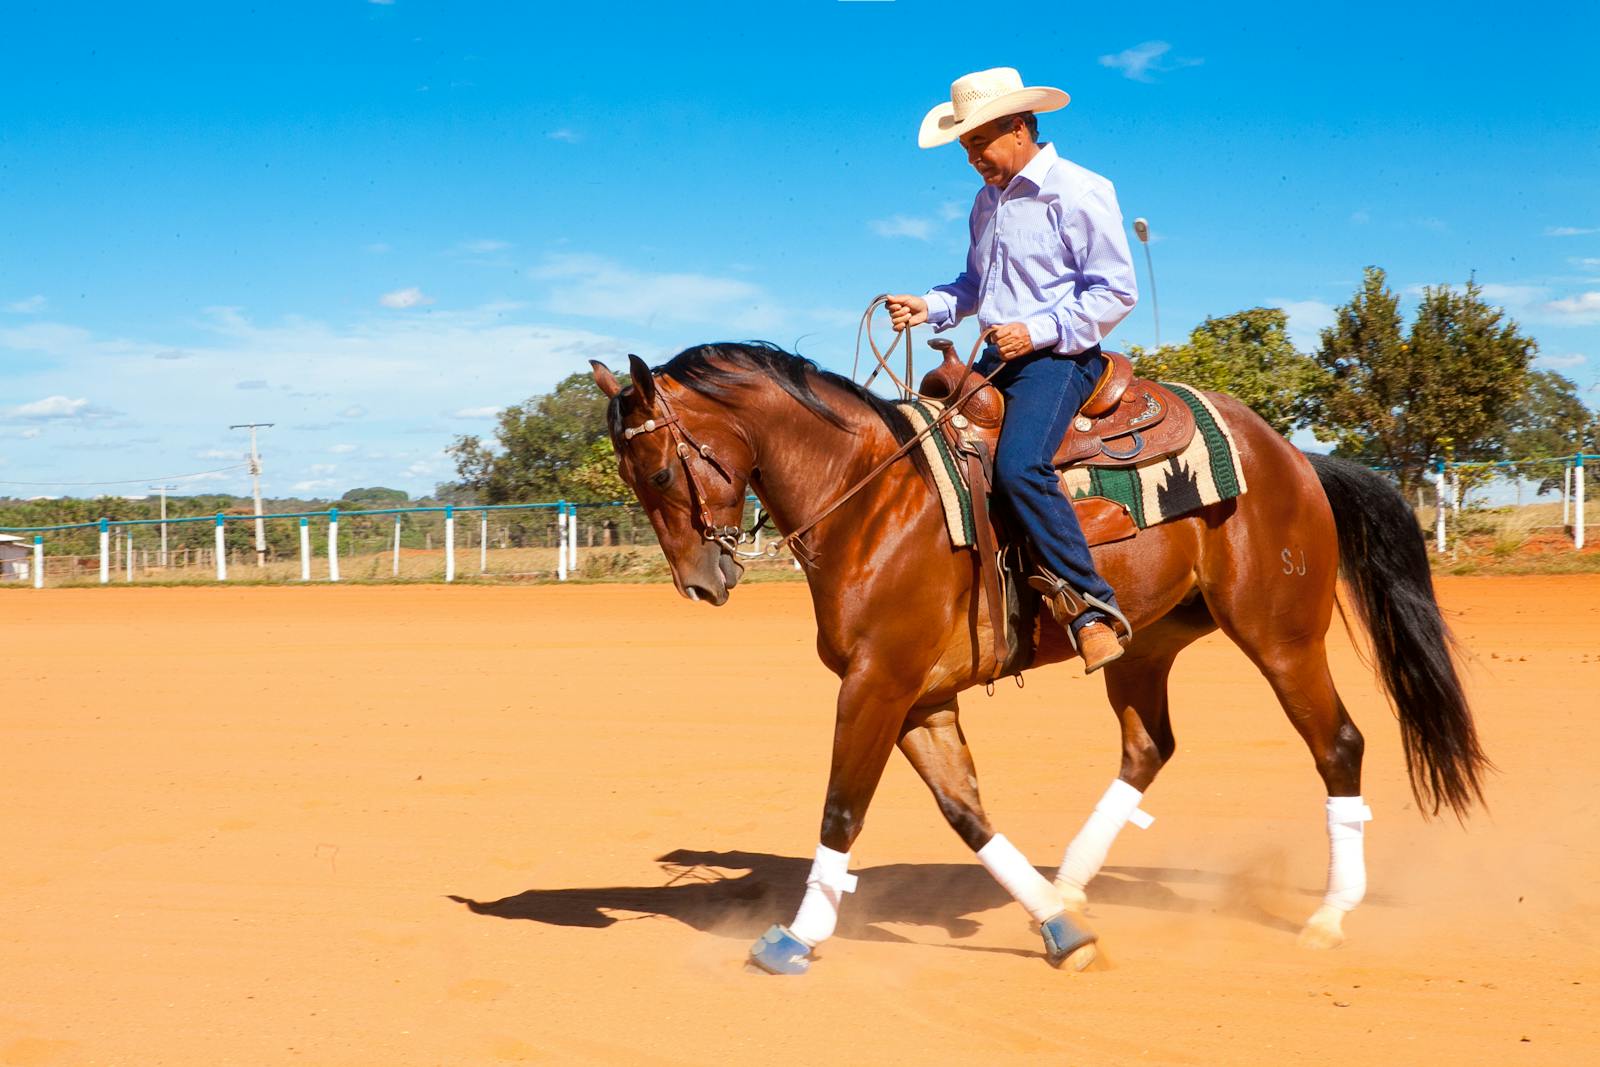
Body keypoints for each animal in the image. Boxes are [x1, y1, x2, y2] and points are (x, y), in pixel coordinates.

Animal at [587, 340, 1487, 975]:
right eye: (629, 477)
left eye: (660, 470)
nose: (701, 582)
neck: (874, 500)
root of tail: (1298, 458)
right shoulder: (919, 697)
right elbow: (967, 812)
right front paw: (1059, 927)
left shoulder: (876, 685)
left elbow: (842, 808)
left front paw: (796, 937)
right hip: (1144, 642)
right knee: (1148, 746)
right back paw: (1072, 883)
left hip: (1281, 635)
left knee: (1338, 744)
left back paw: (1330, 914)